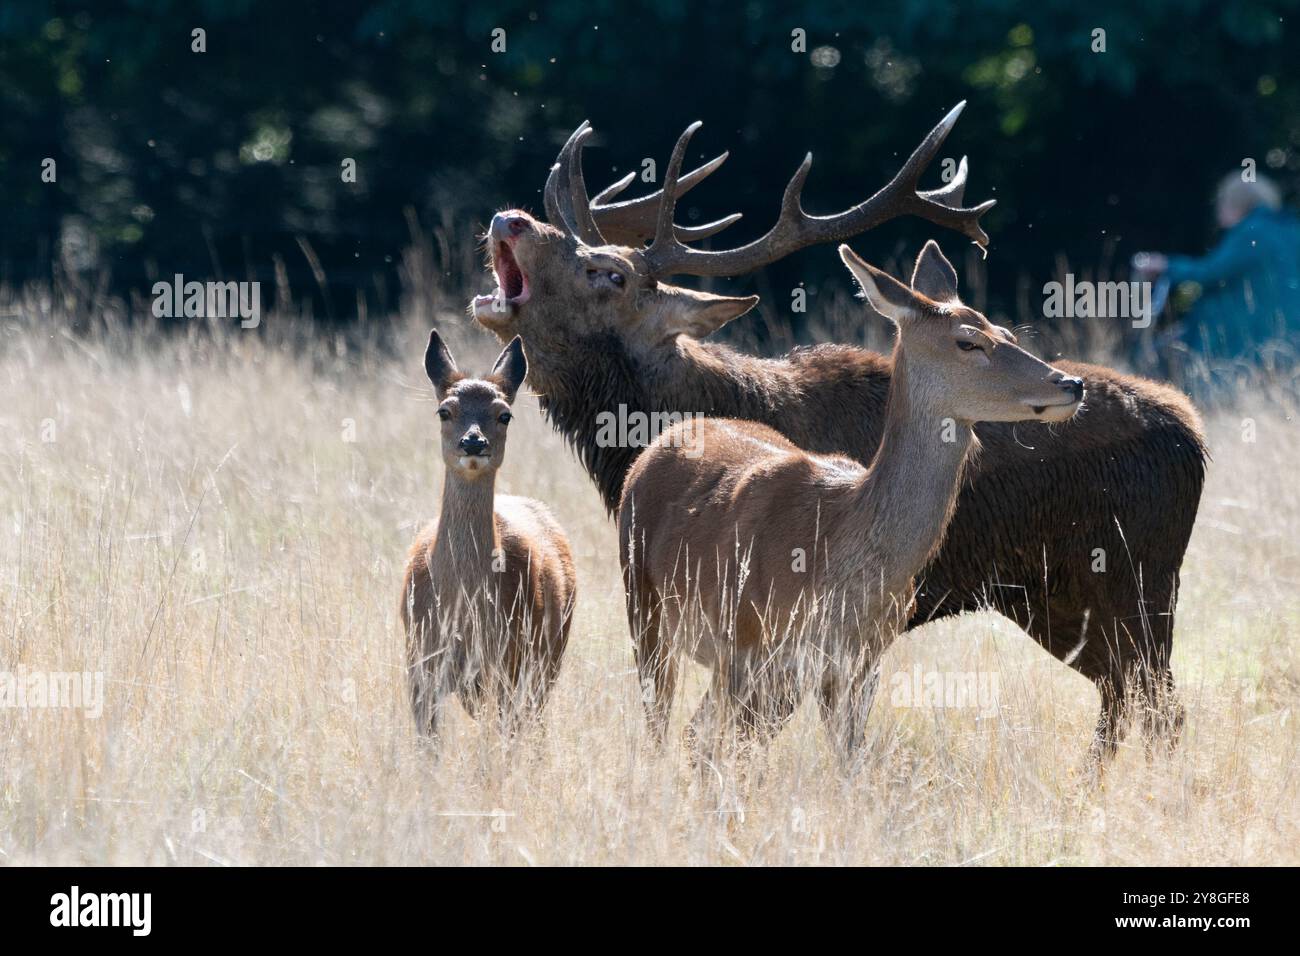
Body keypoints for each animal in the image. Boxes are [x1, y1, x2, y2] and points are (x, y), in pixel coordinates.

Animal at [400, 330, 577, 739]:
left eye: (504, 414)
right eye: (444, 410)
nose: (473, 442)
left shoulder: (510, 664)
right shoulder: (420, 666)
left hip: (546, 659)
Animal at [618, 241, 1084, 762]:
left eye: (1004, 332)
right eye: (968, 342)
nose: (1071, 383)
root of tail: (657, 446)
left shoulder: (861, 662)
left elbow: (848, 760)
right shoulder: (748, 644)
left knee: (693, 733)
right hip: (645, 605)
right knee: (664, 725)